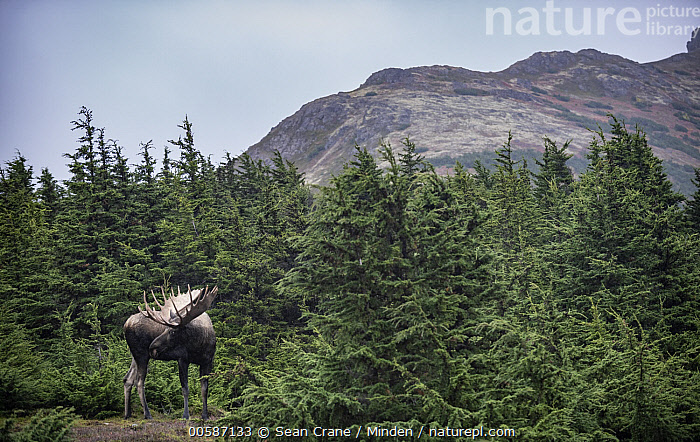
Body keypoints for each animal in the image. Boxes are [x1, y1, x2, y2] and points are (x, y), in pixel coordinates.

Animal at [123, 285, 218, 420]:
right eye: (165, 328)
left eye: (172, 331)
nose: (152, 347)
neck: (199, 344)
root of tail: (126, 324)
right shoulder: (182, 358)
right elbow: (185, 388)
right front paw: (185, 415)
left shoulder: (208, 361)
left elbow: (204, 389)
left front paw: (205, 415)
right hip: (141, 354)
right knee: (139, 382)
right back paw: (147, 414)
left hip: (134, 356)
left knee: (128, 379)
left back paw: (127, 414)